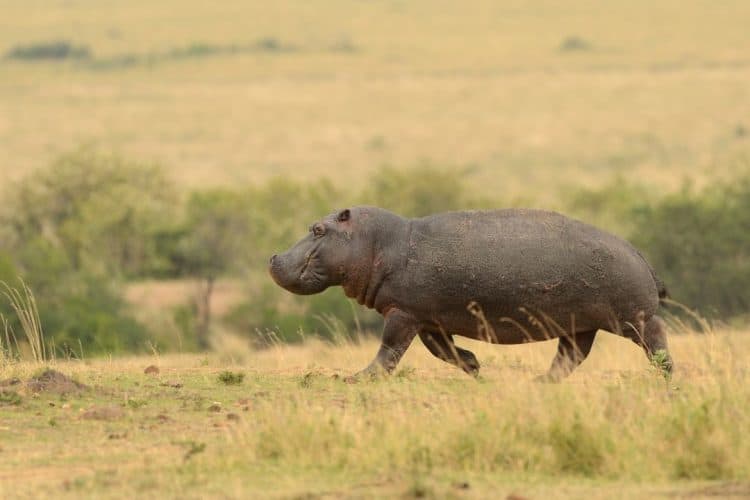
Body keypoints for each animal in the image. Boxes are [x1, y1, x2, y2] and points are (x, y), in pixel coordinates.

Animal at [269, 206, 673, 380]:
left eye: (317, 229)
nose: (273, 258)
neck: (377, 242)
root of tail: (639, 254)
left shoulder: (403, 313)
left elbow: (390, 349)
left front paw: (359, 378)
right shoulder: (427, 318)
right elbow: (442, 351)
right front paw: (475, 366)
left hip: (632, 319)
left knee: (656, 339)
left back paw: (665, 374)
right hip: (580, 324)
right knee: (571, 356)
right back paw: (539, 383)